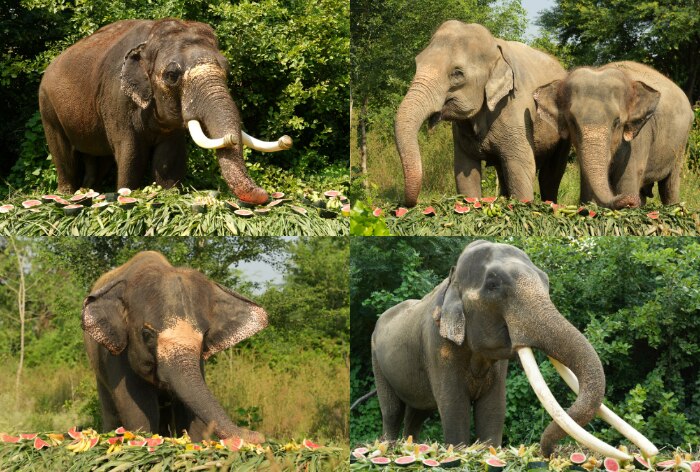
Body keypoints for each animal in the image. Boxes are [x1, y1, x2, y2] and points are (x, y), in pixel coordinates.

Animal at [39, 19, 291, 205]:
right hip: (46, 106)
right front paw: (126, 194)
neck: (150, 37)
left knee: (97, 160)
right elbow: (131, 153)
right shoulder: (116, 98)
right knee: (62, 152)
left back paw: (88, 192)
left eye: (227, 70)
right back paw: (65, 195)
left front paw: (167, 194)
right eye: (171, 75)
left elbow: (169, 156)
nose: (266, 195)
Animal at [81, 251, 268, 442]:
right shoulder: (117, 354)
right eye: (146, 334)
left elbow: (189, 411)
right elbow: (138, 408)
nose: (258, 435)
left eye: (205, 335)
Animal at [371, 240, 655, 459]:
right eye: (493, 286)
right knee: (392, 410)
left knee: (418, 413)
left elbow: (493, 409)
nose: (550, 453)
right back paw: (391, 448)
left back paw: (411, 447)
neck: (451, 280)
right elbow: (455, 408)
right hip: (376, 358)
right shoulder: (439, 346)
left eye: (546, 282)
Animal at [395, 21, 571, 207]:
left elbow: (520, 169)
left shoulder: (516, 110)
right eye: (417, 63)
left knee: (550, 175)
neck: (496, 47)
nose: (411, 203)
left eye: (457, 73)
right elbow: (464, 172)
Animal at [534, 61, 694, 209]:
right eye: (572, 121)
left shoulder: (640, 137)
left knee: (669, 186)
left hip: (681, 144)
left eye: (617, 121)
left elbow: (628, 178)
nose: (630, 201)